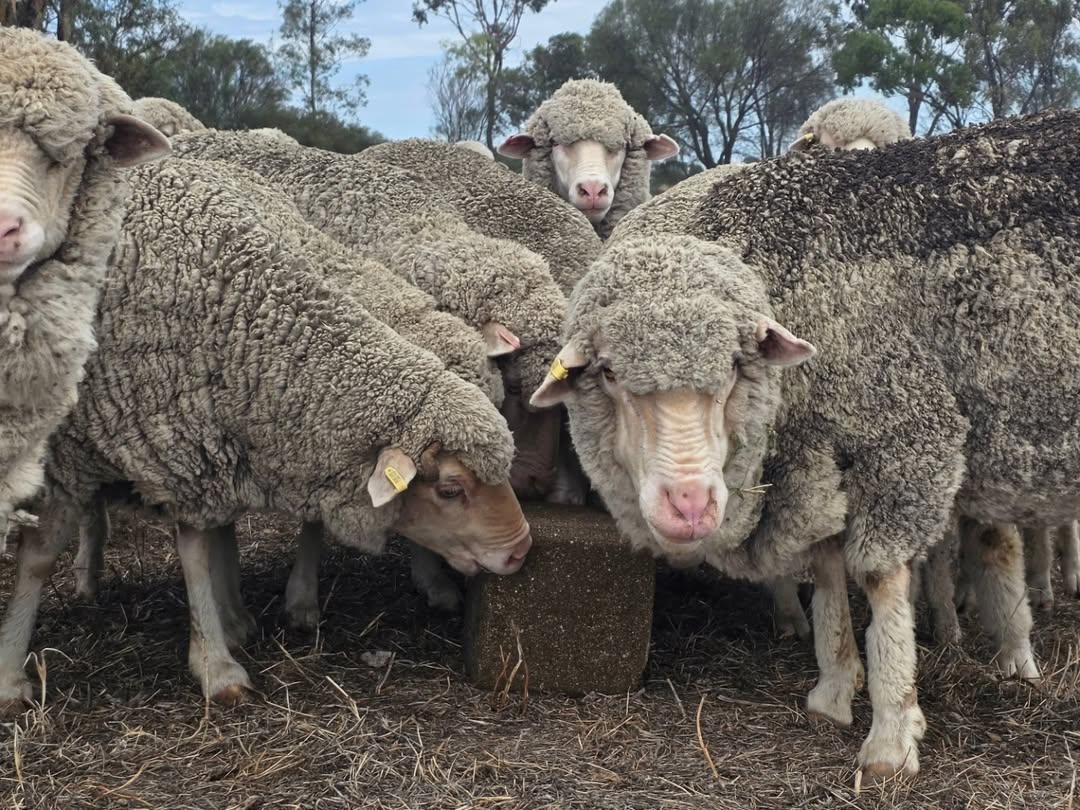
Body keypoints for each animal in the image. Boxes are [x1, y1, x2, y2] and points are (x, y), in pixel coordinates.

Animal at [0, 154, 532, 709]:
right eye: (451, 489)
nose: (521, 550)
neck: (235, 311)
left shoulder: (206, 444)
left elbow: (210, 540)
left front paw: (231, 637)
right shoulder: (94, 447)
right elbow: (44, 555)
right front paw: (12, 673)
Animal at [531, 109, 1080, 780]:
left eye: (737, 366)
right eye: (608, 373)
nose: (689, 505)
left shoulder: (905, 435)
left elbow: (878, 575)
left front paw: (892, 733)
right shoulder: (811, 455)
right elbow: (825, 570)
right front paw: (835, 690)